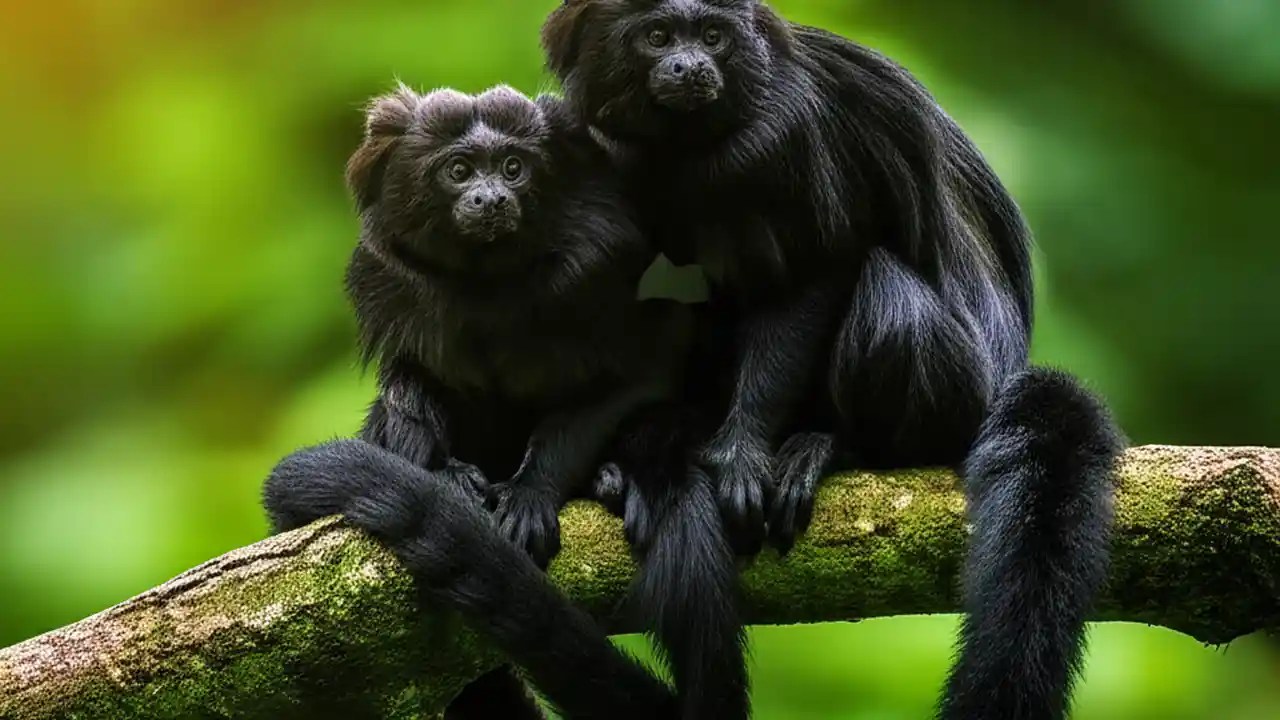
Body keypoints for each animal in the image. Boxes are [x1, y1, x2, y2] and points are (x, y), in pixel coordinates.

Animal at [541, 1, 1125, 719]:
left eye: (713, 36)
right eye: (656, 37)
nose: (690, 66)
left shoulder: (784, 137)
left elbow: (812, 274)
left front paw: (742, 453)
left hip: (960, 392)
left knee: (889, 296)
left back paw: (833, 448)